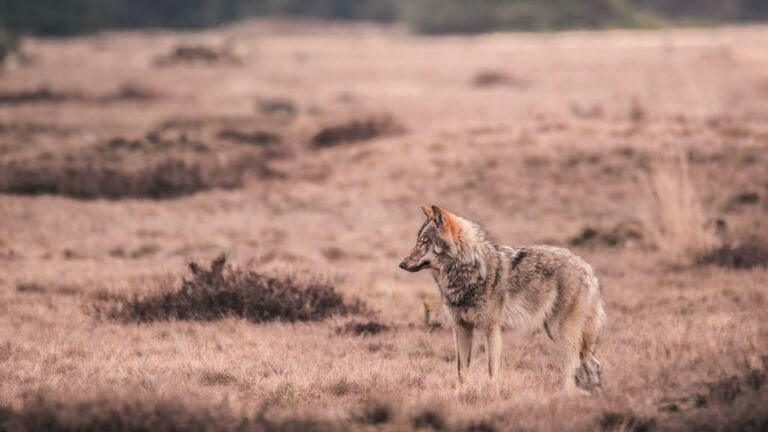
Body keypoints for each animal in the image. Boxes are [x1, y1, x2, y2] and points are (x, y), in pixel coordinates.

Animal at [399, 205, 605, 394]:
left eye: (424, 241)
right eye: (418, 240)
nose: (401, 264)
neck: (466, 271)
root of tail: (587, 268)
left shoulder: (491, 329)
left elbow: (491, 369)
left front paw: (491, 393)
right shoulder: (461, 328)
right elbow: (461, 371)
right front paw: (459, 394)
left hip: (560, 332)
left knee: (575, 365)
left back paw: (568, 396)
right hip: (556, 333)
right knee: (593, 363)